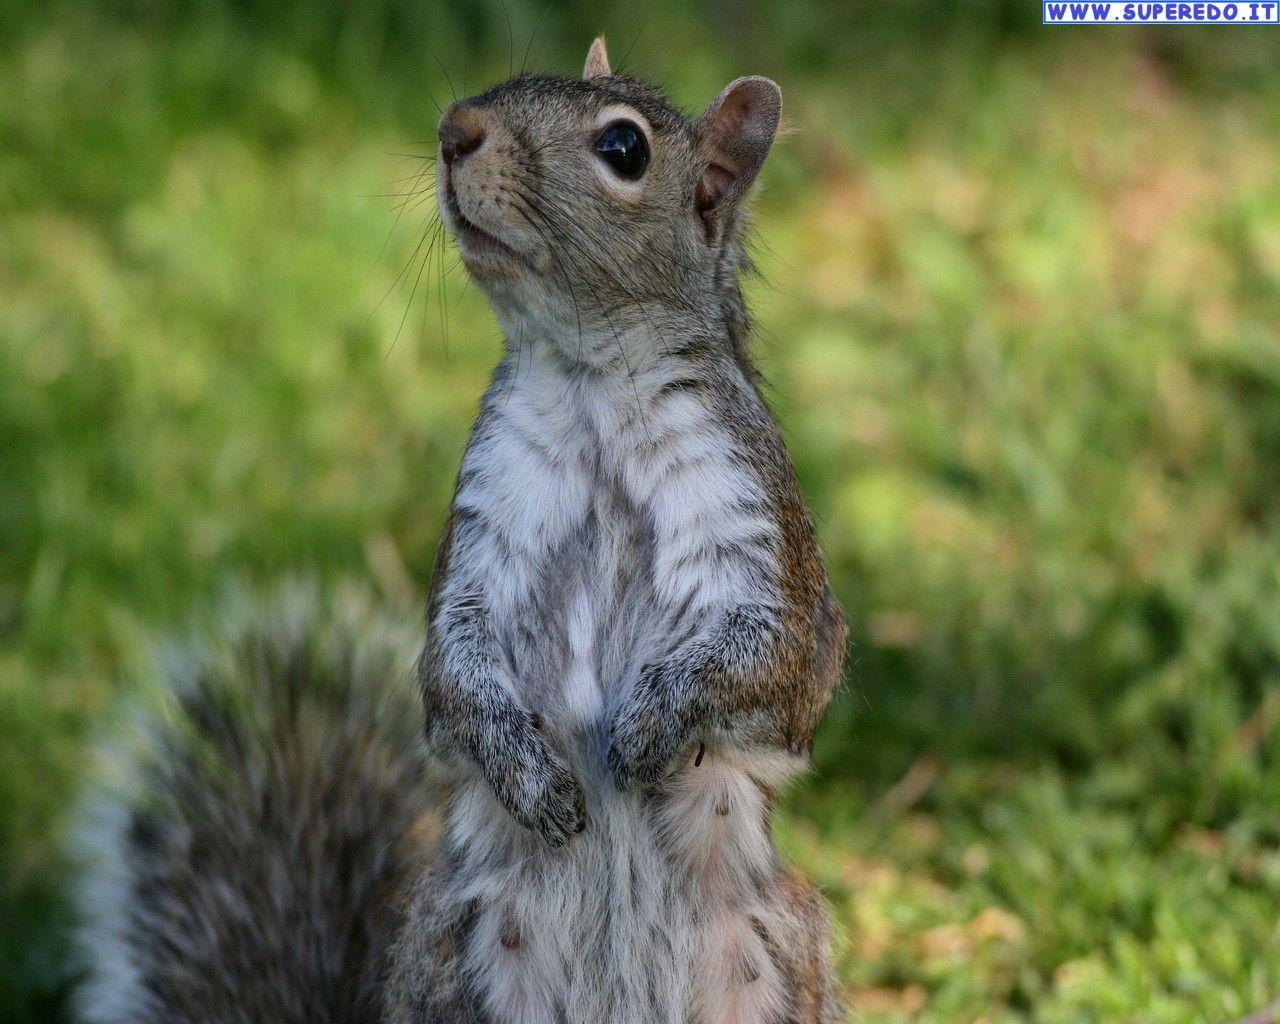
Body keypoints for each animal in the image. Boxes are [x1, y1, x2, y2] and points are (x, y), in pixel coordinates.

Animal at [73, 39, 847, 1024]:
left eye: (625, 149)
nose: (454, 129)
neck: (593, 387)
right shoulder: (487, 523)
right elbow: (451, 673)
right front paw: (529, 775)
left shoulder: (757, 525)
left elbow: (775, 659)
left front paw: (646, 725)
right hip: (447, 948)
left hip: (778, 948)